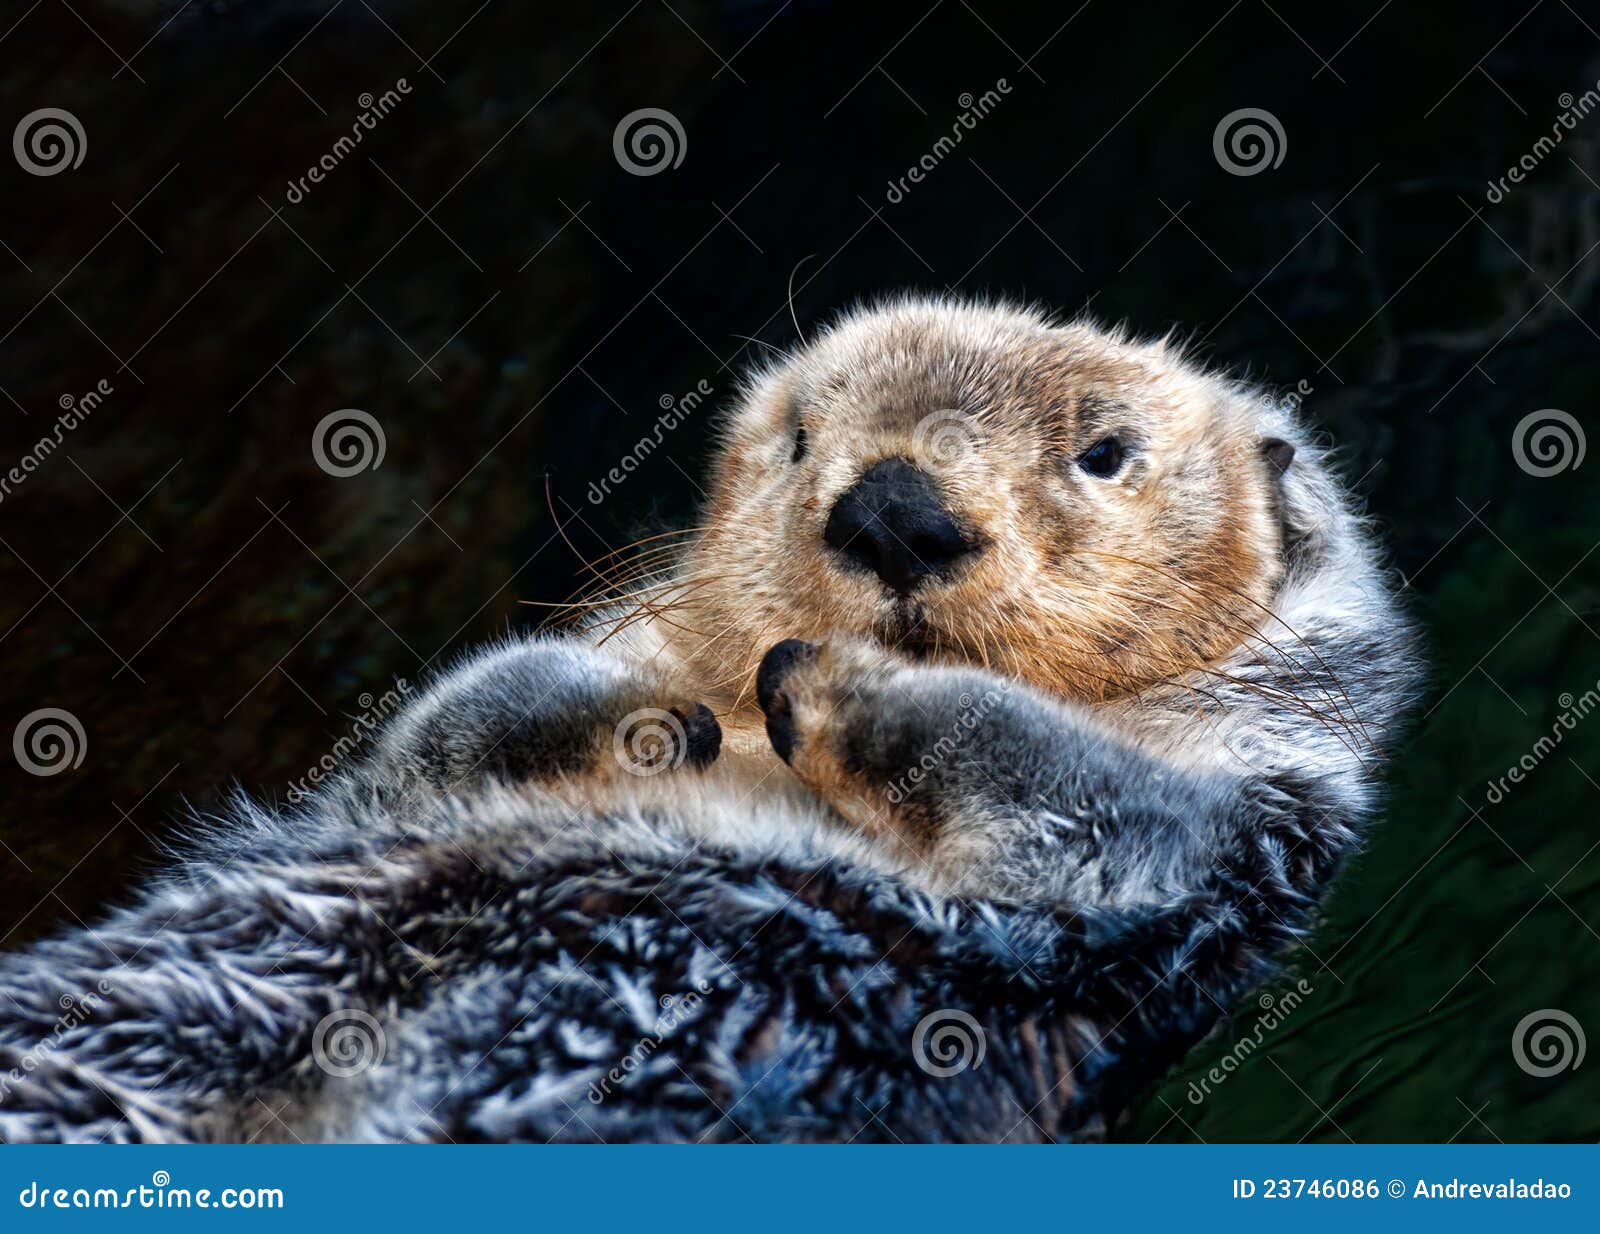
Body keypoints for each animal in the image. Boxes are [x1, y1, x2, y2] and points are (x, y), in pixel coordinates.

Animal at [0, 296, 1417, 1143]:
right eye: (796, 438)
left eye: (1106, 451)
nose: (893, 507)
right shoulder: (405, 786)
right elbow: (446, 728)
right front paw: (648, 716)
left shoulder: (1248, 818)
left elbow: (1075, 788)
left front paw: (823, 678)